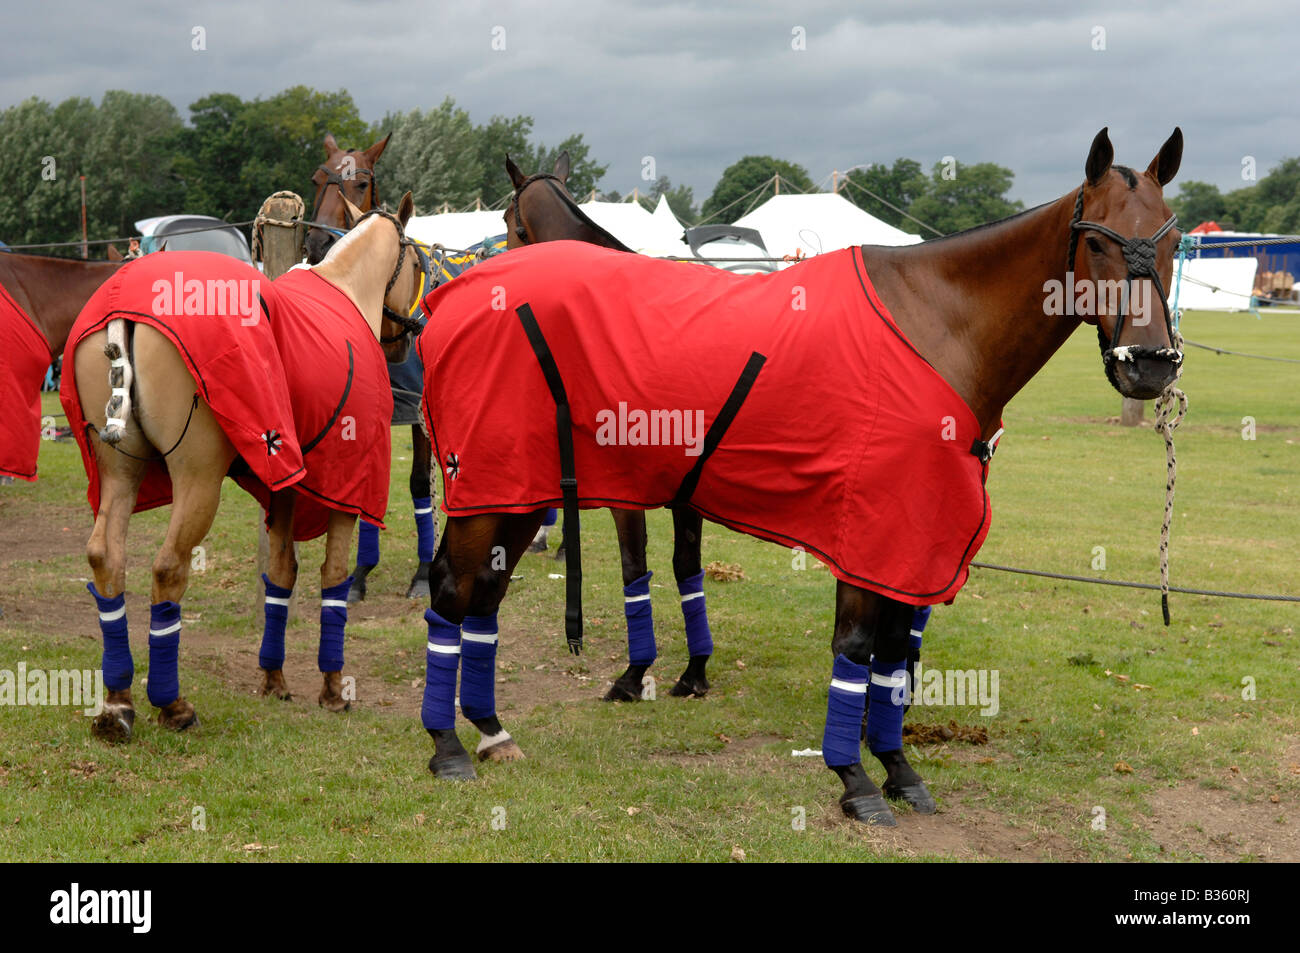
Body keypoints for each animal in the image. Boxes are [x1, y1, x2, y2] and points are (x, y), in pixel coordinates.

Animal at [61, 193, 428, 742]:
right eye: (419, 263)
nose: (407, 340)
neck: (345, 290)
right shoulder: (349, 485)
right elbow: (334, 576)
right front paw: (332, 688)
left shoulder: (285, 484)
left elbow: (279, 572)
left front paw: (274, 678)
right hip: (198, 479)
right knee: (168, 567)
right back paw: (172, 704)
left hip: (119, 474)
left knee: (107, 558)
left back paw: (117, 703)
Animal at [302, 131, 439, 603]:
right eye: (318, 179)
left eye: (360, 182)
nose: (318, 245)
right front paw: (359, 573)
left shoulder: (419, 412)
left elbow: (419, 484)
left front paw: (423, 573)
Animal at [412, 127, 1185, 825]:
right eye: (1096, 243)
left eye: (1172, 243)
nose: (1150, 366)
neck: (938, 327)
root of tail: (460, 299)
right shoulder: (868, 527)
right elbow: (856, 648)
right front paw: (855, 779)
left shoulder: (909, 536)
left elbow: (892, 652)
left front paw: (898, 768)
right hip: (497, 482)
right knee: (453, 591)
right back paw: (447, 744)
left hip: (516, 489)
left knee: (482, 596)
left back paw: (489, 730)